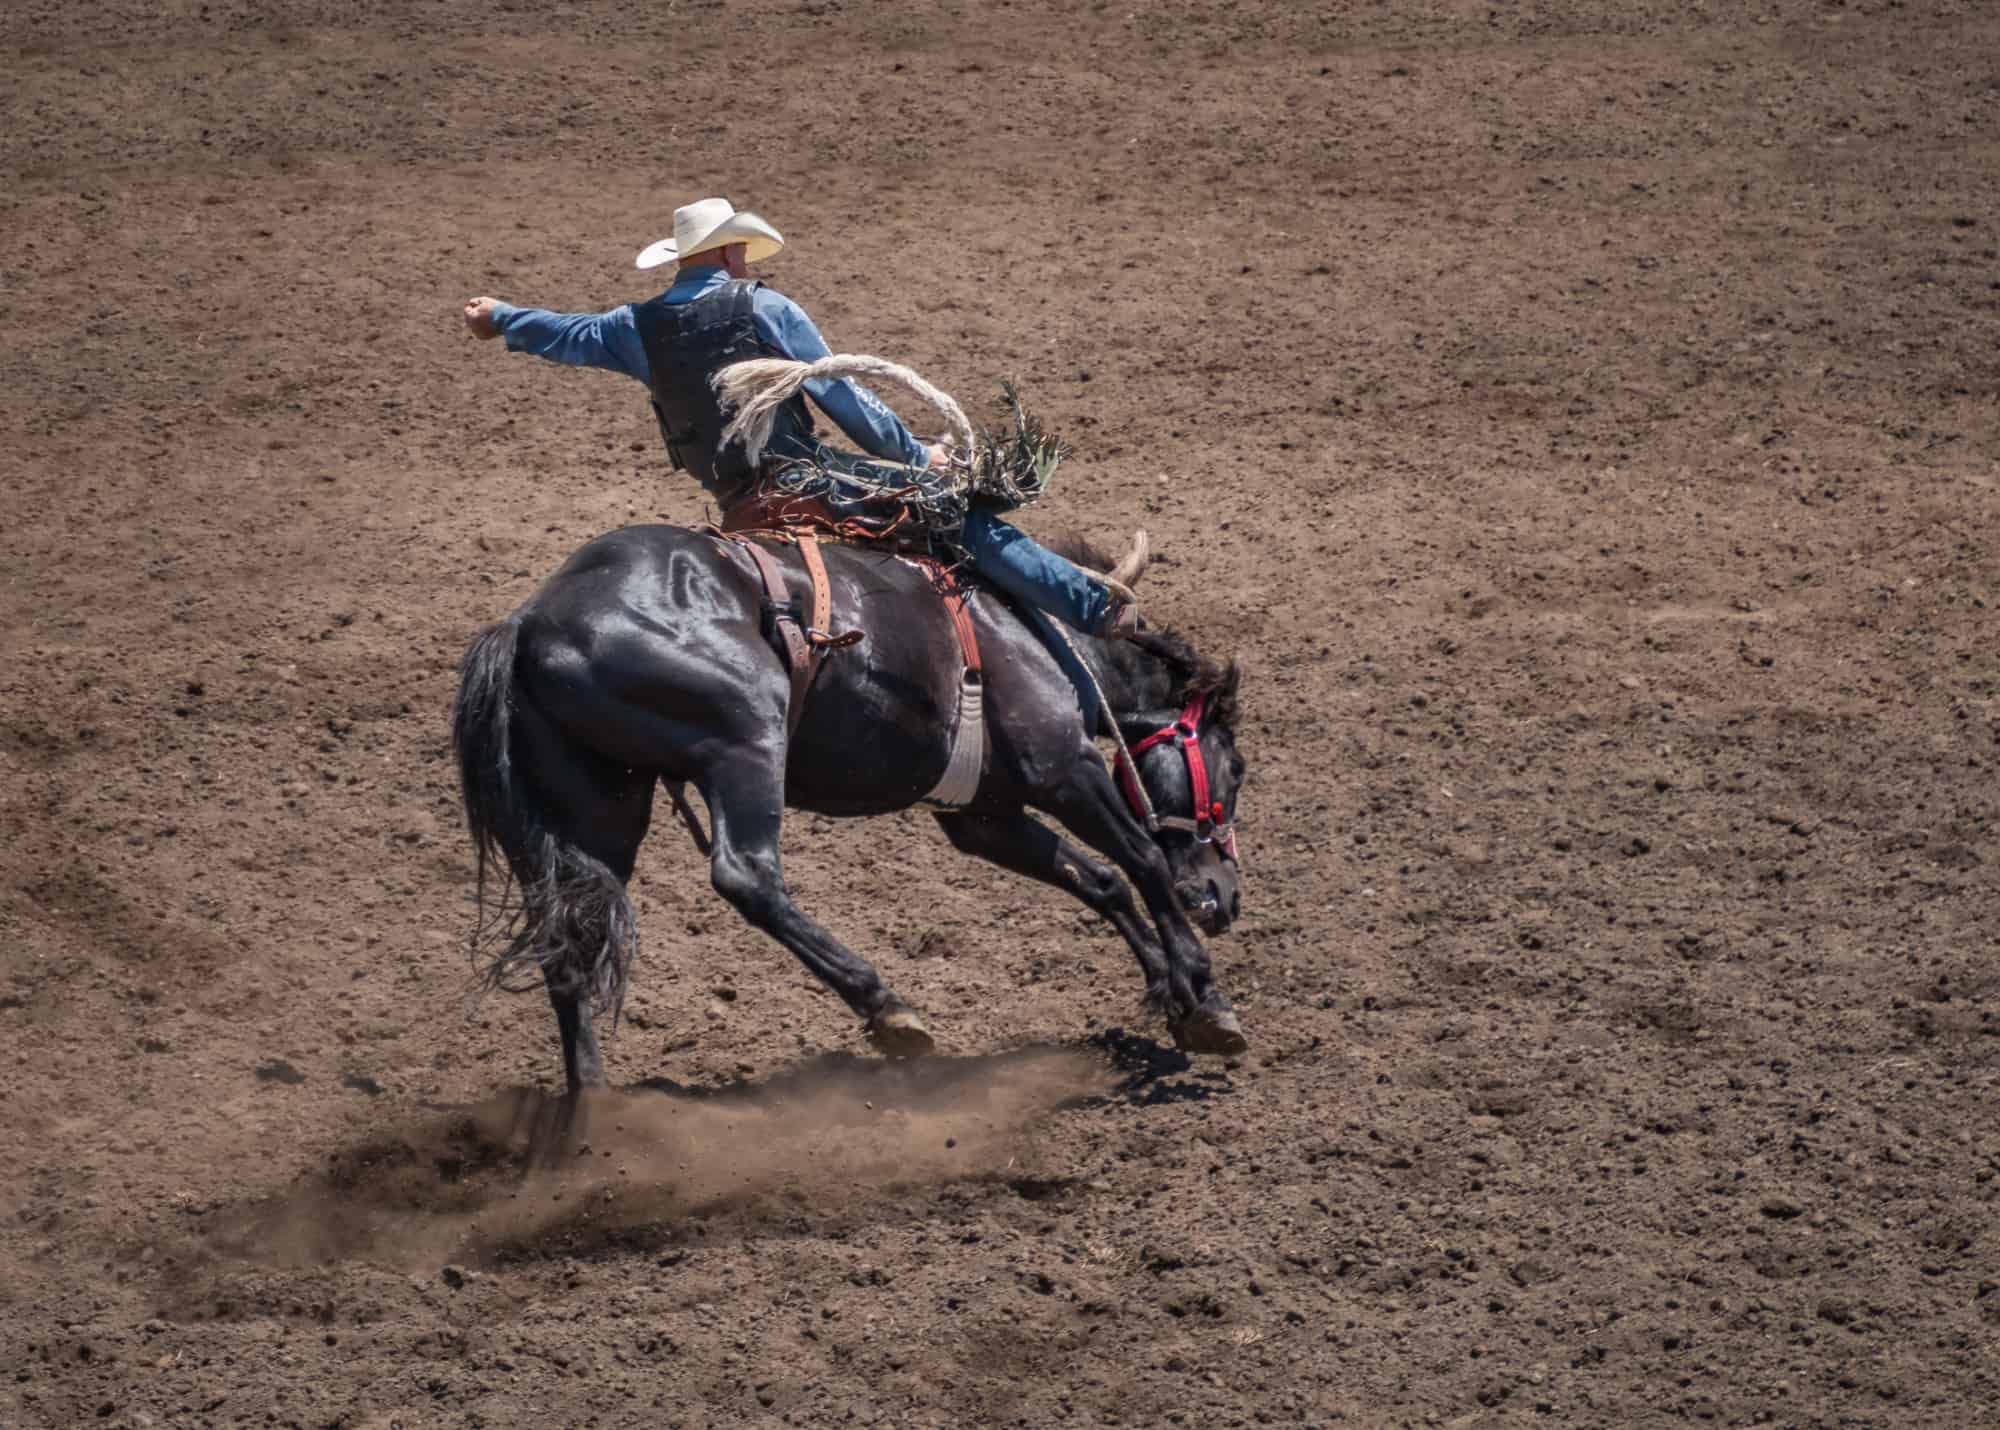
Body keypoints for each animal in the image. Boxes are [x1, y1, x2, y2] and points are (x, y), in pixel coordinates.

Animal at [451, 524, 1249, 1096]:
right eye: (1236, 768)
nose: (1226, 896)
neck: (1040, 636)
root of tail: (527, 622)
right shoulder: (1065, 769)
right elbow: (1141, 859)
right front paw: (1204, 996)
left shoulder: (983, 816)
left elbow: (1100, 880)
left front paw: (1171, 993)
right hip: (746, 736)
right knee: (747, 876)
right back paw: (888, 1007)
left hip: (598, 802)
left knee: (568, 936)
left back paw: (594, 1109)